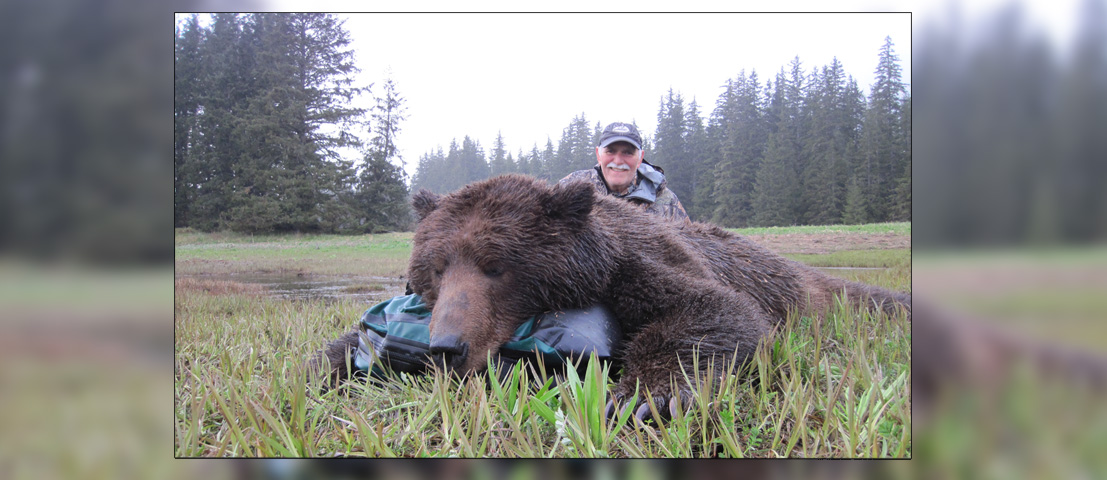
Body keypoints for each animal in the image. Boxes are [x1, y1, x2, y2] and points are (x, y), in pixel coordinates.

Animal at [314, 174, 910, 421]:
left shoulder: (639, 265)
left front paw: (644, 396)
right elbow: (344, 344)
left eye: (496, 266)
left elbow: (716, 310)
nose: (446, 346)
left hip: (798, 287)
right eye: (437, 267)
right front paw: (326, 365)